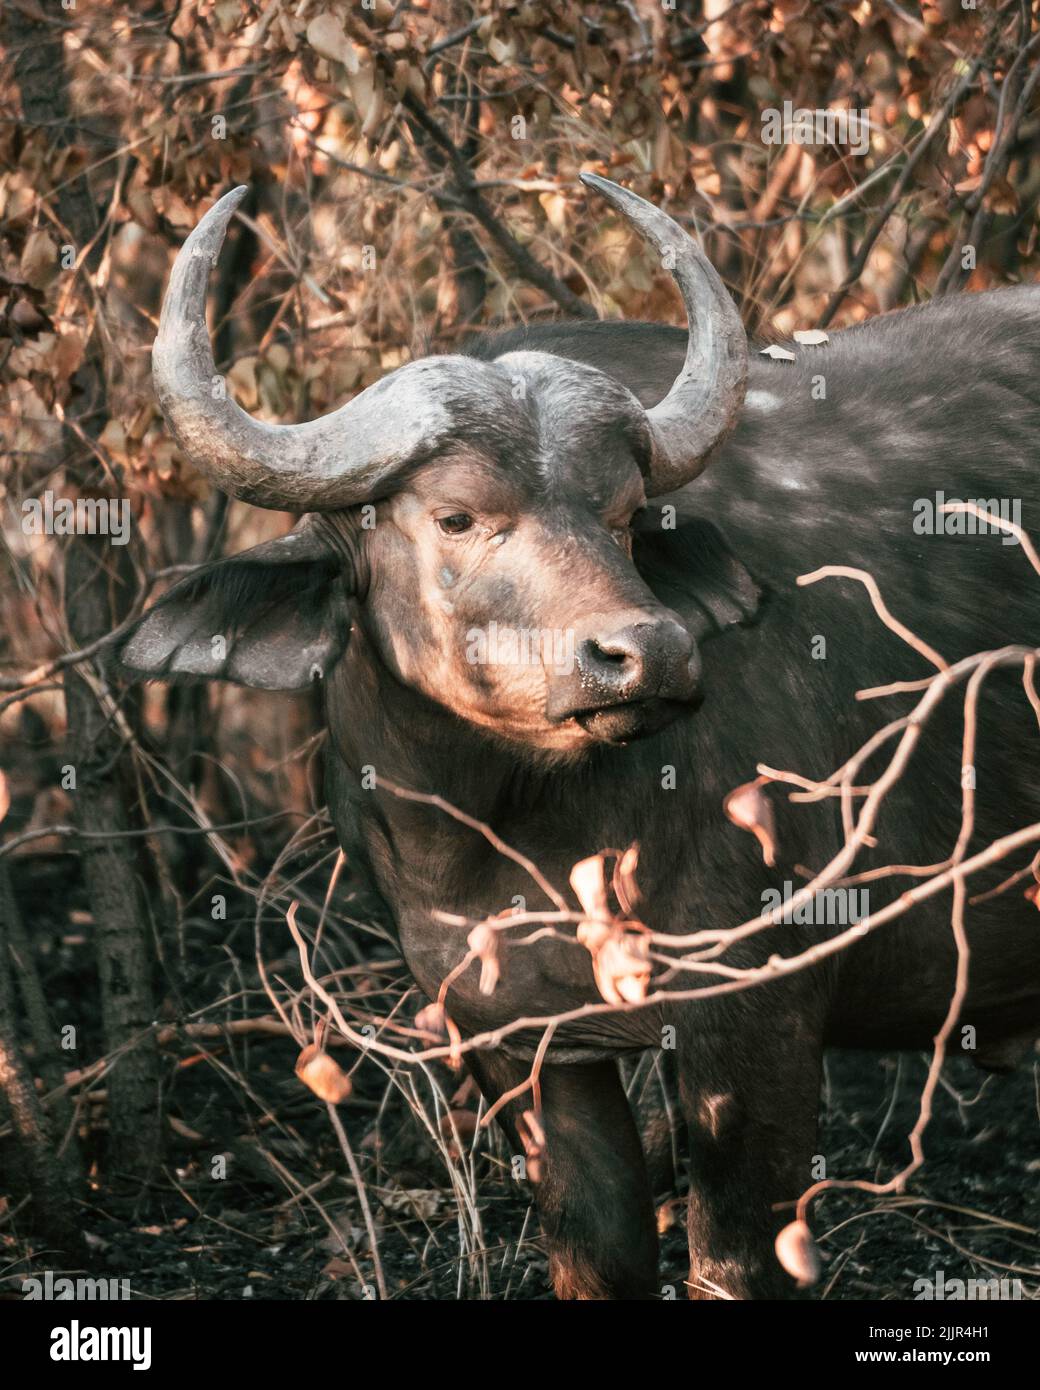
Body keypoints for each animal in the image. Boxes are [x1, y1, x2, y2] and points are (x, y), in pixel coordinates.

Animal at [119, 175, 1040, 1299]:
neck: (508, 838)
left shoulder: (758, 1029)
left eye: (625, 514)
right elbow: (597, 1250)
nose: (650, 652)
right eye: (457, 517)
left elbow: (733, 1258)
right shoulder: (521, 1045)